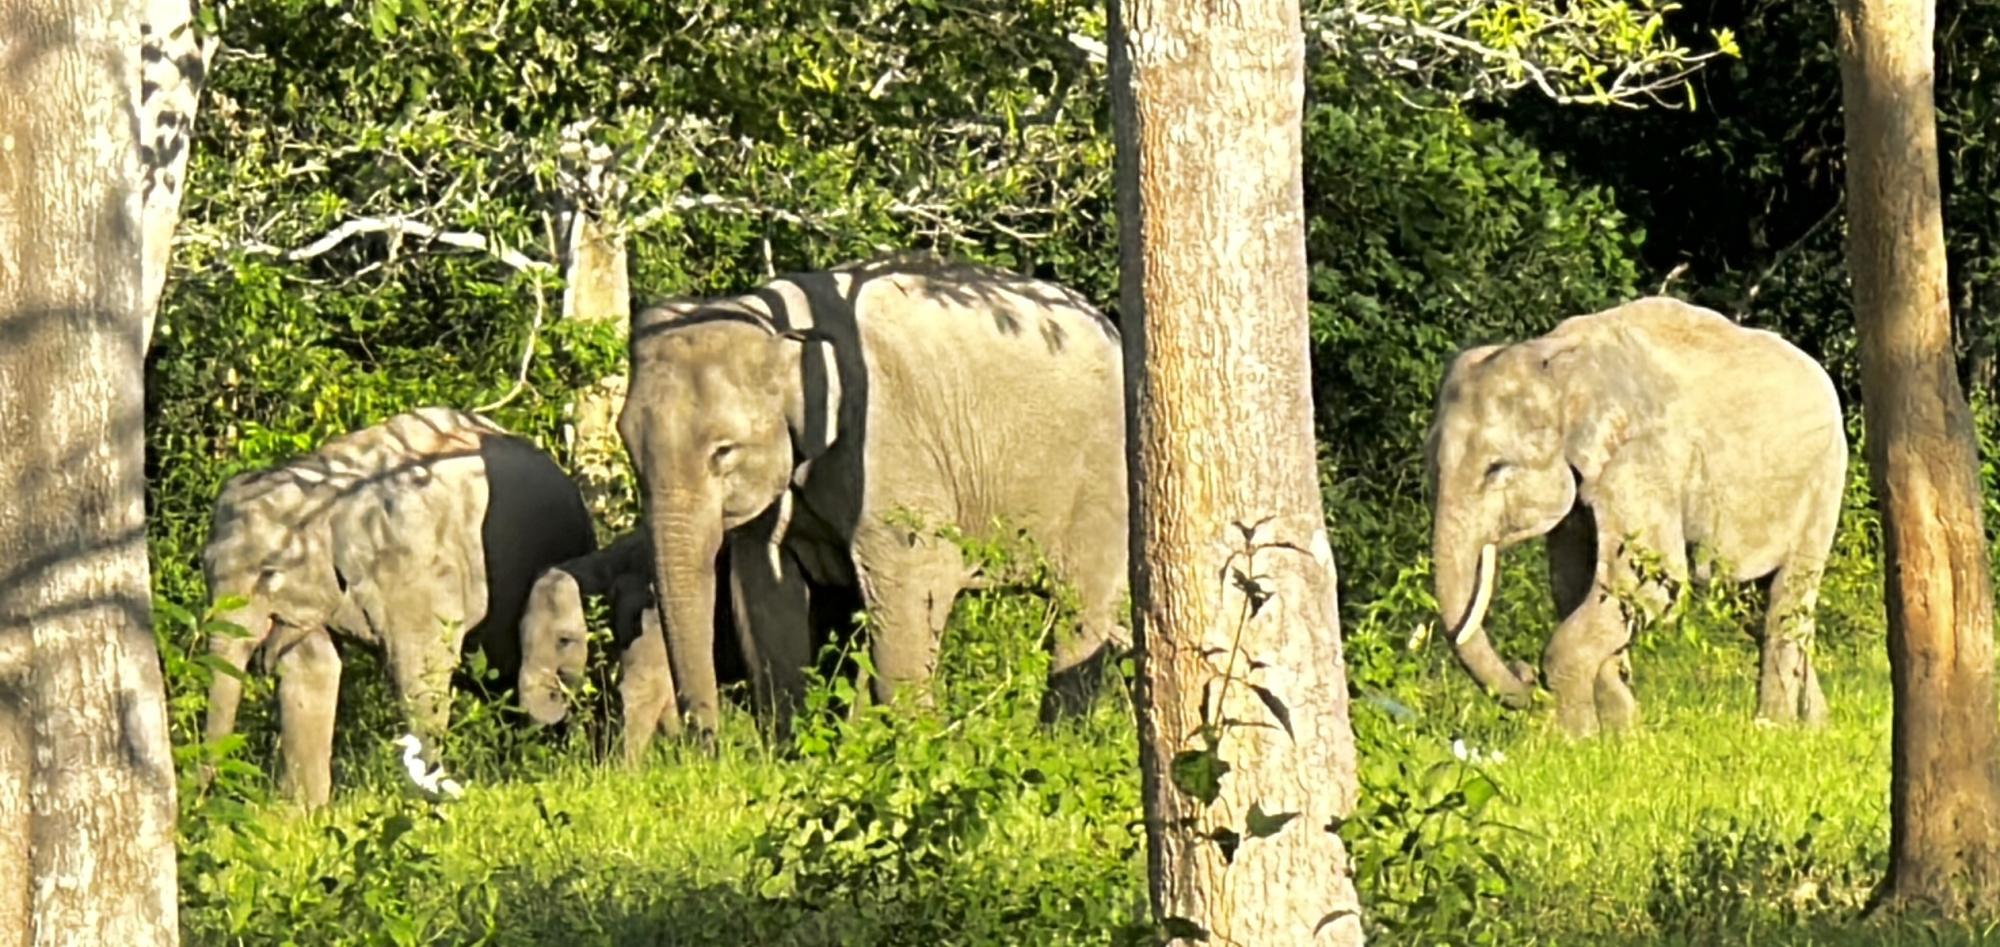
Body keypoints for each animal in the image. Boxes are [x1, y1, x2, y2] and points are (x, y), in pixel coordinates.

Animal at [200, 406, 597, 806]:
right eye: (205, 569)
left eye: (268, 574)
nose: (203, 797)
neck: (323, 487)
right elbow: (310, 672)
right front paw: (302, 810)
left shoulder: (419, 568)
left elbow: (420, 671)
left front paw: (424, 791)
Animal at [618, 253, 1131, 740]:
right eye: (627, 443)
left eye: (723, 451)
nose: (707, 739)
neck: (776, 323)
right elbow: (766, 597)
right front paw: (795, 754)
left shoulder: (887, 442)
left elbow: (915, 578)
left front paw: (917, 746)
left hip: (1103, 475)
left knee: (1080, 610)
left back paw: (1060, 739)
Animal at [1423, 295, 1847, 738]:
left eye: (1496, 468)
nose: (1523, 674)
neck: (1557, 358)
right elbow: (1574, 584)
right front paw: (1624, 737)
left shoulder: (1642, 458)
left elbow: (1652, 584)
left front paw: (1578, 741)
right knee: (1752, 602)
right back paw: (1815, 728)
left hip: (1823, 481)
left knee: (1787, 598)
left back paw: (1773, 727)